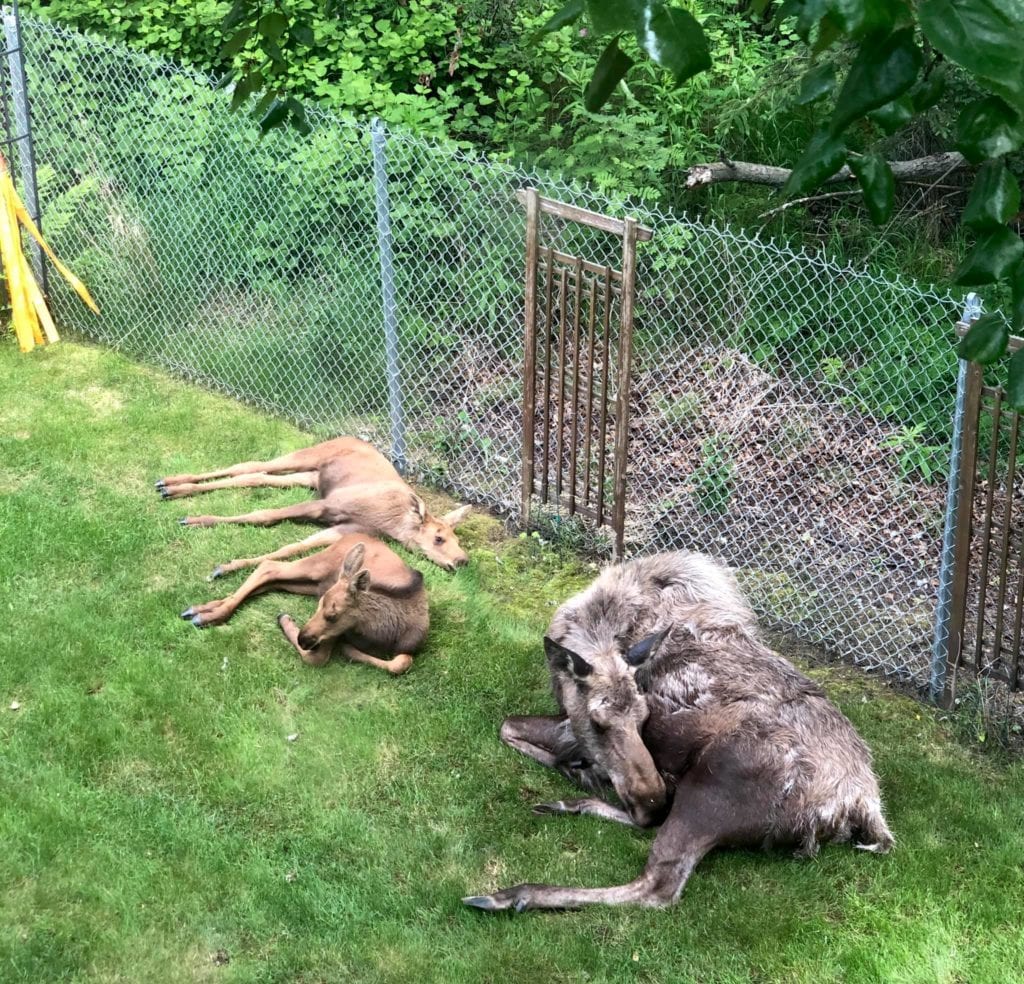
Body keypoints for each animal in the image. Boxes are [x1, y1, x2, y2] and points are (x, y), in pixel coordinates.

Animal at [155, 436, 472, 571]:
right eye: (439, 538)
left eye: (458, 539)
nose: (462, 560)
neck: (388, 523)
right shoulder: (328, 504)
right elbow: (265, 515)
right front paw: (197, 520)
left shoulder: (343, 529)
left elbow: (292, 548)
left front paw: (229, 566)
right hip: (308, 457)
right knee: (250, 465)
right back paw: (171, 485)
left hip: (310, 476)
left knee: (255, 476)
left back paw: (171, 487)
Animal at [180, 535, 428, 675]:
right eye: (319, 607)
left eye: (333, 615)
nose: (303, 638)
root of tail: (349, 535)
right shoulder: (332, 633)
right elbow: (316, 658)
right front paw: (285, 620)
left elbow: (402, 662)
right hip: (318, 567)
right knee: (269, 565)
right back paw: (210, 613)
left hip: (313, 582)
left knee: (270, 578)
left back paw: (202, 608)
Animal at [464, 550, 893, 913]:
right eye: (600, 722)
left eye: (644, 716)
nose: (652, 796)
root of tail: (857, 805)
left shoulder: (569, 725)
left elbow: (507, 725)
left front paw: (577, 767)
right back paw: (575, 805)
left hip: (710, 790)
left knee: (656, 882)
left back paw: (512, 894)